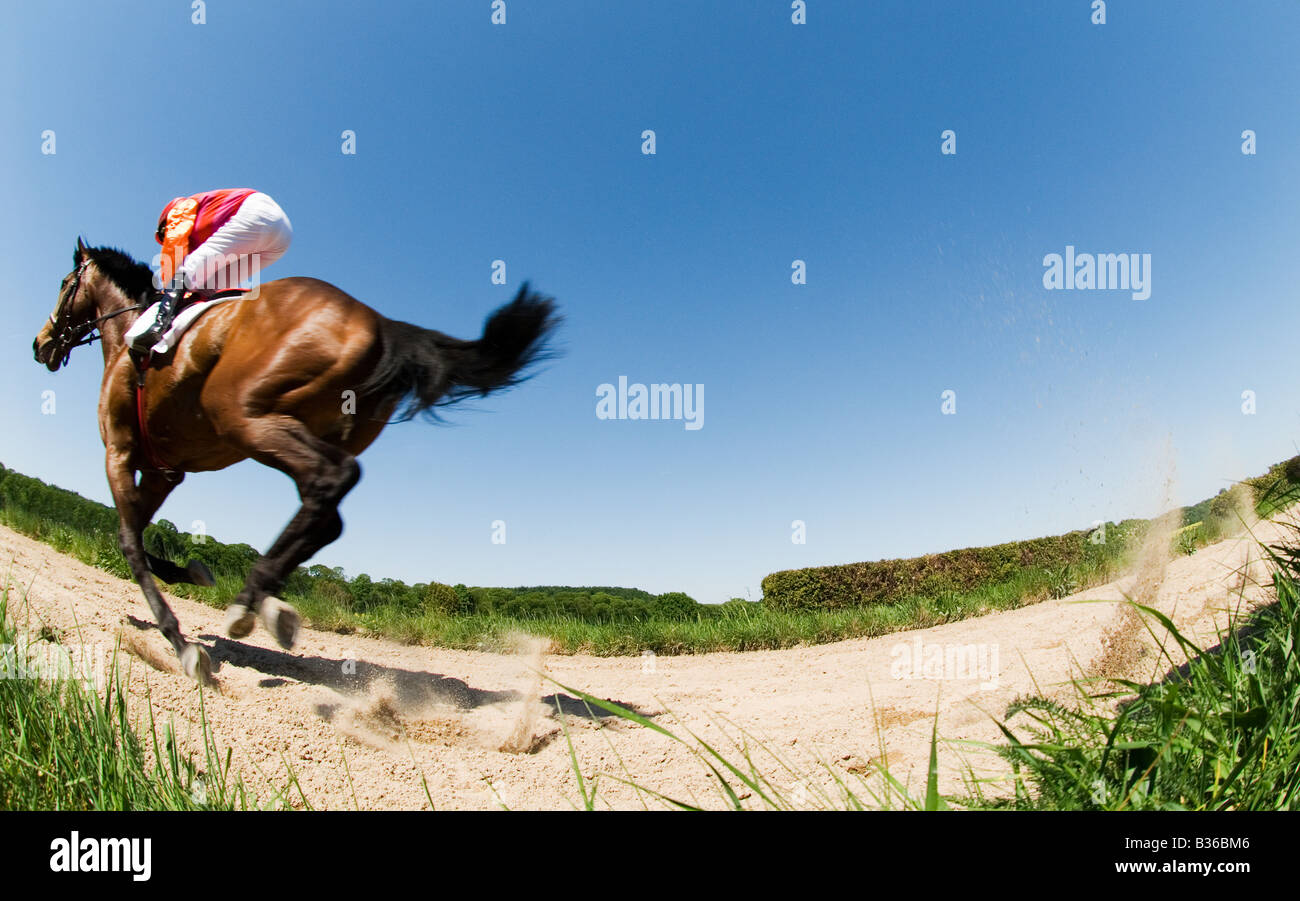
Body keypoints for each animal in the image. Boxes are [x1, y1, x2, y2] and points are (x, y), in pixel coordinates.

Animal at [32, 239, 559, 682]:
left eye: (63, 283)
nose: (41, 344)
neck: (127, 336)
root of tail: (380, 323)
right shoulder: (167, 470)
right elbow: (138, 533)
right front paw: (192, 574)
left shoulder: (119, 453)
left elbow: (127, 541)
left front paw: (180, 642)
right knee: (327, 512)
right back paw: (264, 601)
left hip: (245, 416)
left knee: (331, 482)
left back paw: (250, 600)